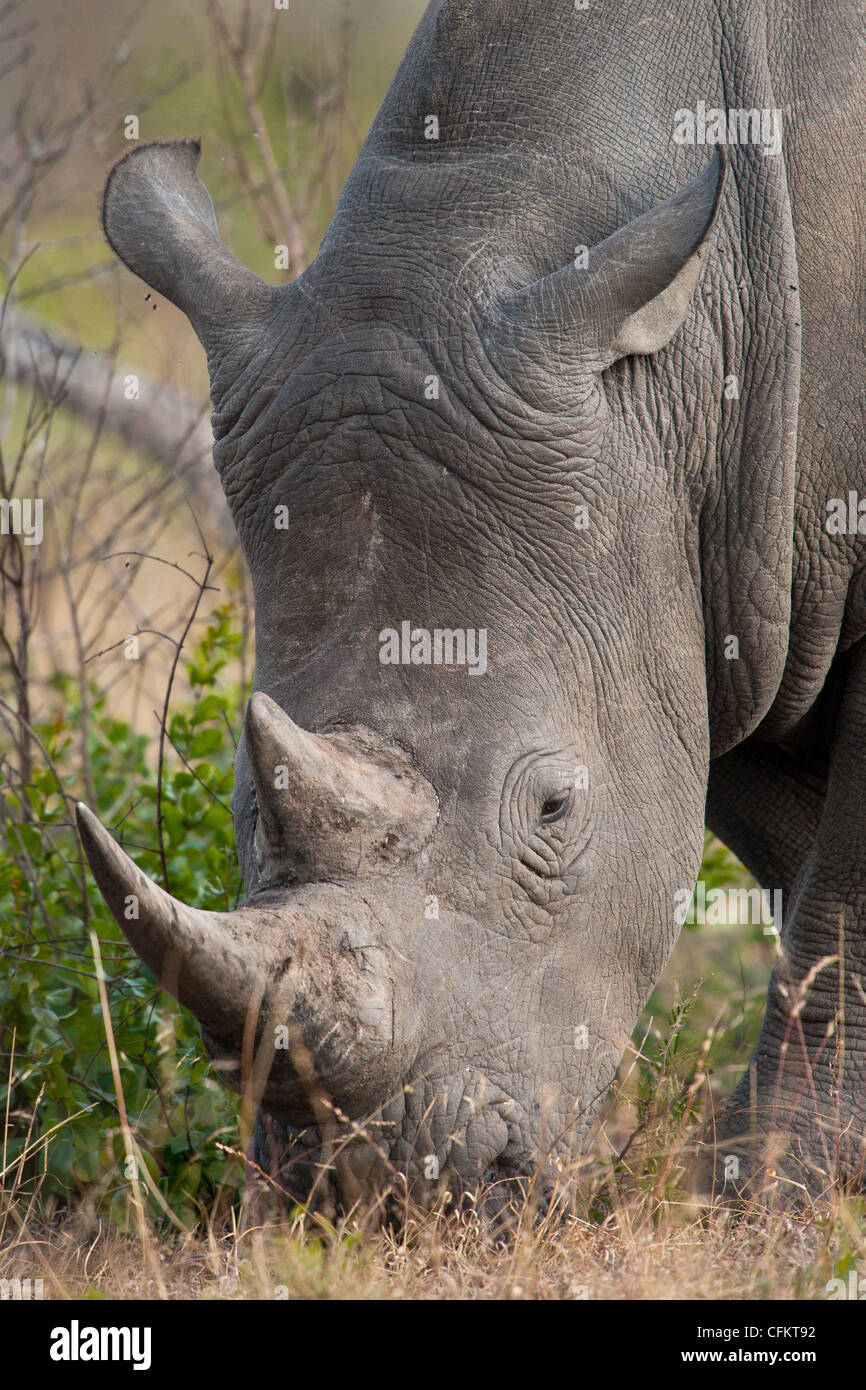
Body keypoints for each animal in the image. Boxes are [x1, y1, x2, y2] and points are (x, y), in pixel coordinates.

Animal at [78, 0, 866, 1207]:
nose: (370, 1190)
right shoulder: (723, 570)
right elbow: (797, 857)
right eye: (242, 806)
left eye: (554, 811)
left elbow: (841, 891)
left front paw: (777, 1189)